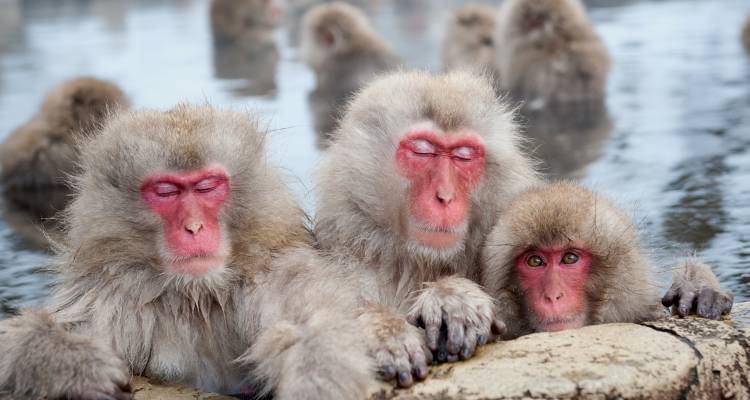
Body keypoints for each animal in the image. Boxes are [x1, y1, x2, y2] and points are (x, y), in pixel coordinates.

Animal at [0, 104, 374, 399]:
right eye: (166, 191)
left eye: (207, 186)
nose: (194, 227)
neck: (198, 296)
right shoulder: (111, 296)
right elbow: (17, 341)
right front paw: (75, 364)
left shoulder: (275, 275)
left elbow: (312, 324)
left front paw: (314, 382)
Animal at [314, 70, 539, 386]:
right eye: (422, 152)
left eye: (463, 156)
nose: (444, 196)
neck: (418, 264)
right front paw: (384, 331)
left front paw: (453, 298)